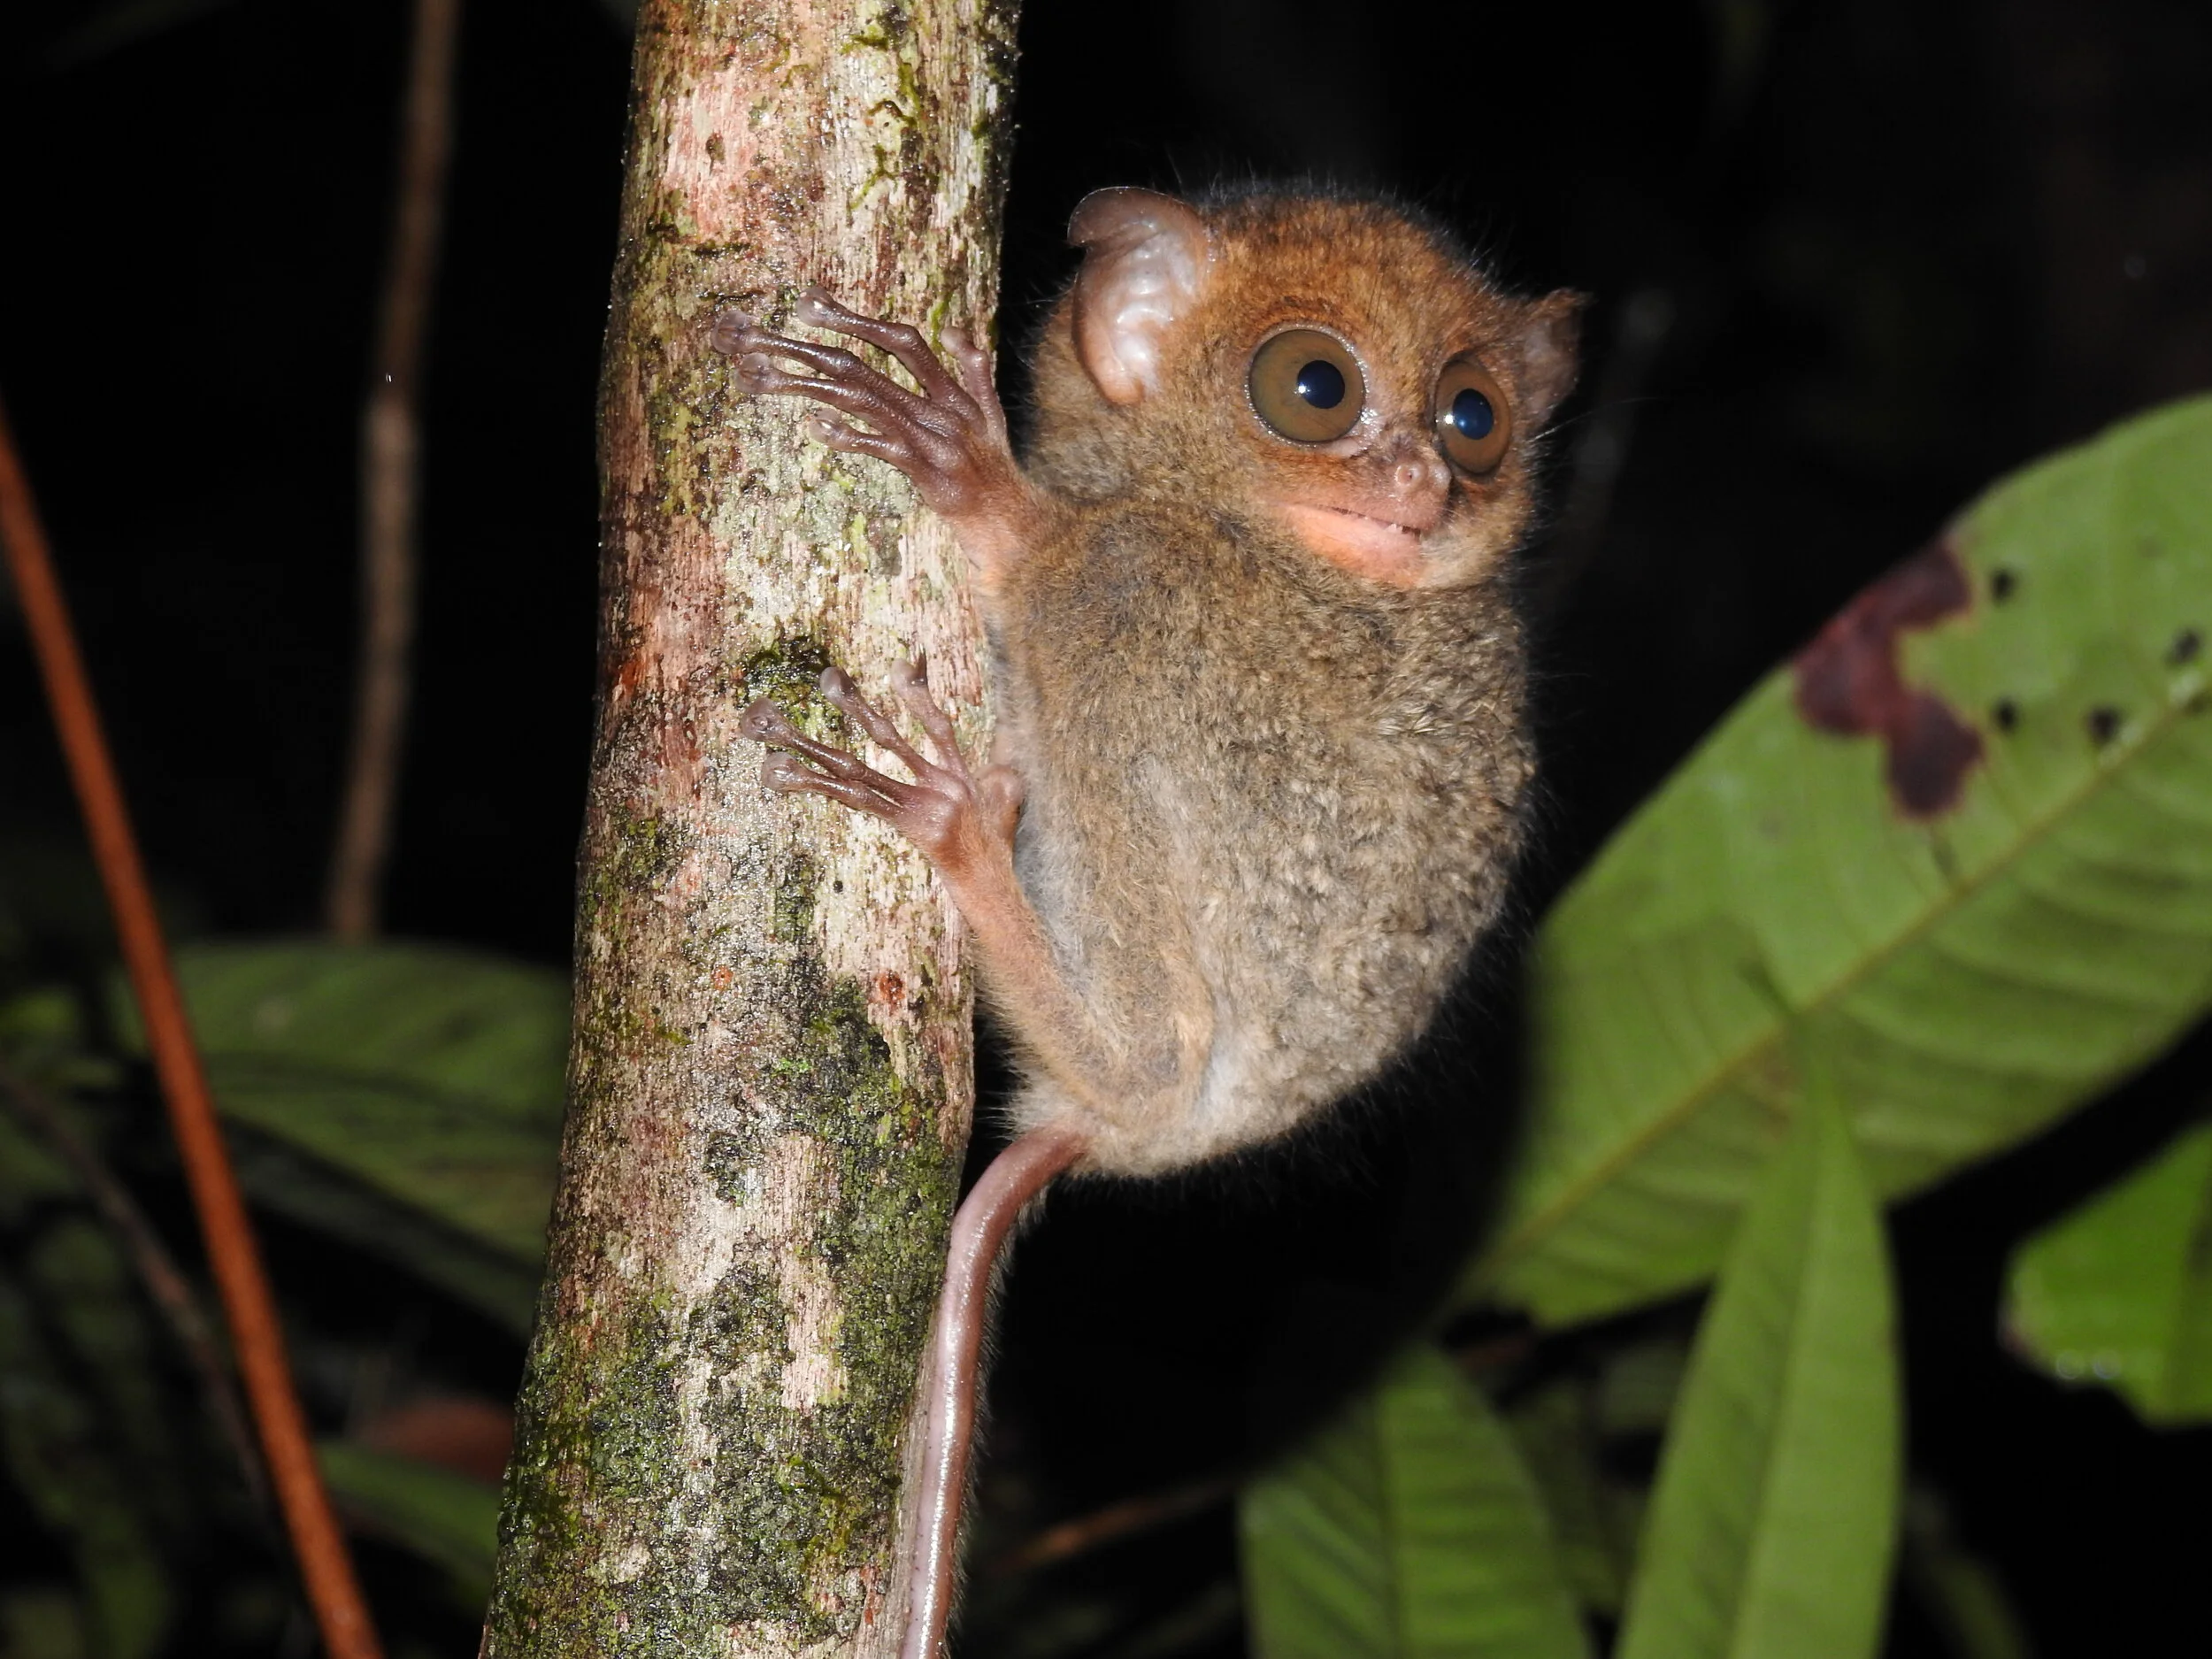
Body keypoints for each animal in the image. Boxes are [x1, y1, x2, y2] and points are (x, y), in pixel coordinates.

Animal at [711, 185, 1580, 1658]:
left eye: (1472, 417)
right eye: (1316, 388)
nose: (1427, 484)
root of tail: (1140, 1137)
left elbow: (1079, 549)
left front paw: (980, 485)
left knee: (1119, 574)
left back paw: (967, 839)